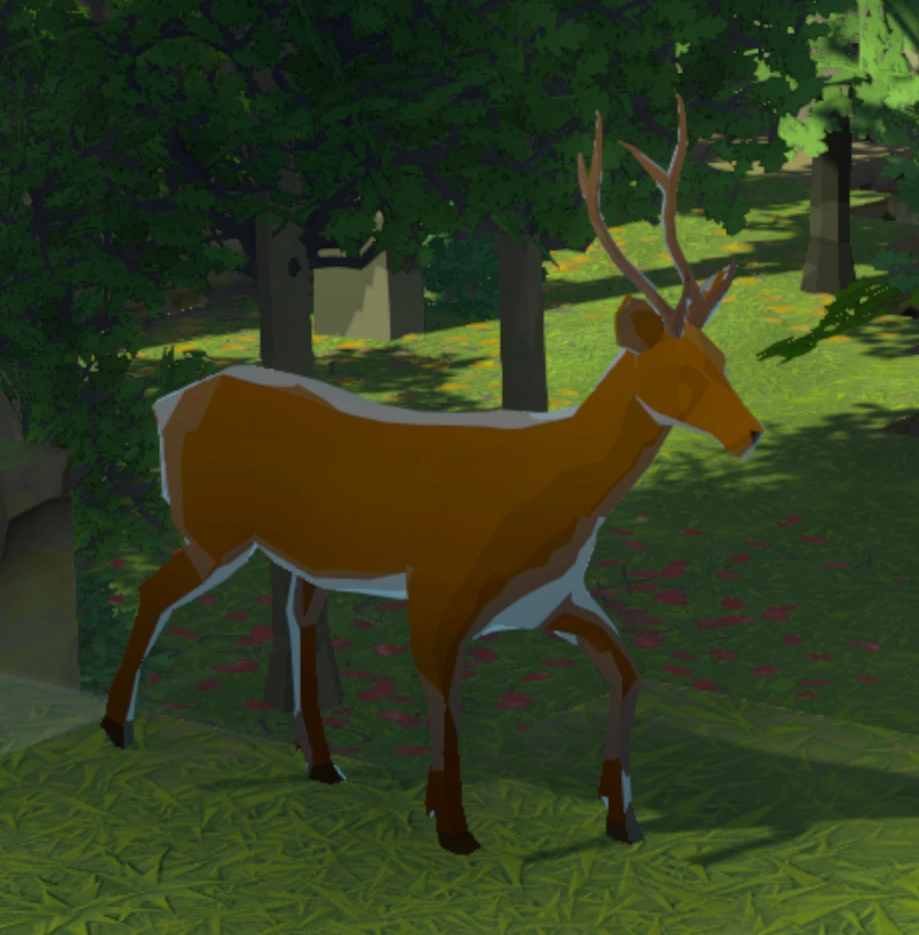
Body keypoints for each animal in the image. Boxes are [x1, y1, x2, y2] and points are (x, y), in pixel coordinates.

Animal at [100, 93, 763, 856]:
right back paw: (117, 726)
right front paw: (452, 828)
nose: (751, 432)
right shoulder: (441, 584)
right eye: (682, 371)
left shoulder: (553, 596)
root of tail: (167, 402)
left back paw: (322, 763)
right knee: (154, 590)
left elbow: (627, 673)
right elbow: (445, 700)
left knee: (299, 619)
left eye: (721, 358)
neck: (551, 493)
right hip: (213, 525)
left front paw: (621, 819)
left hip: (299, 553)